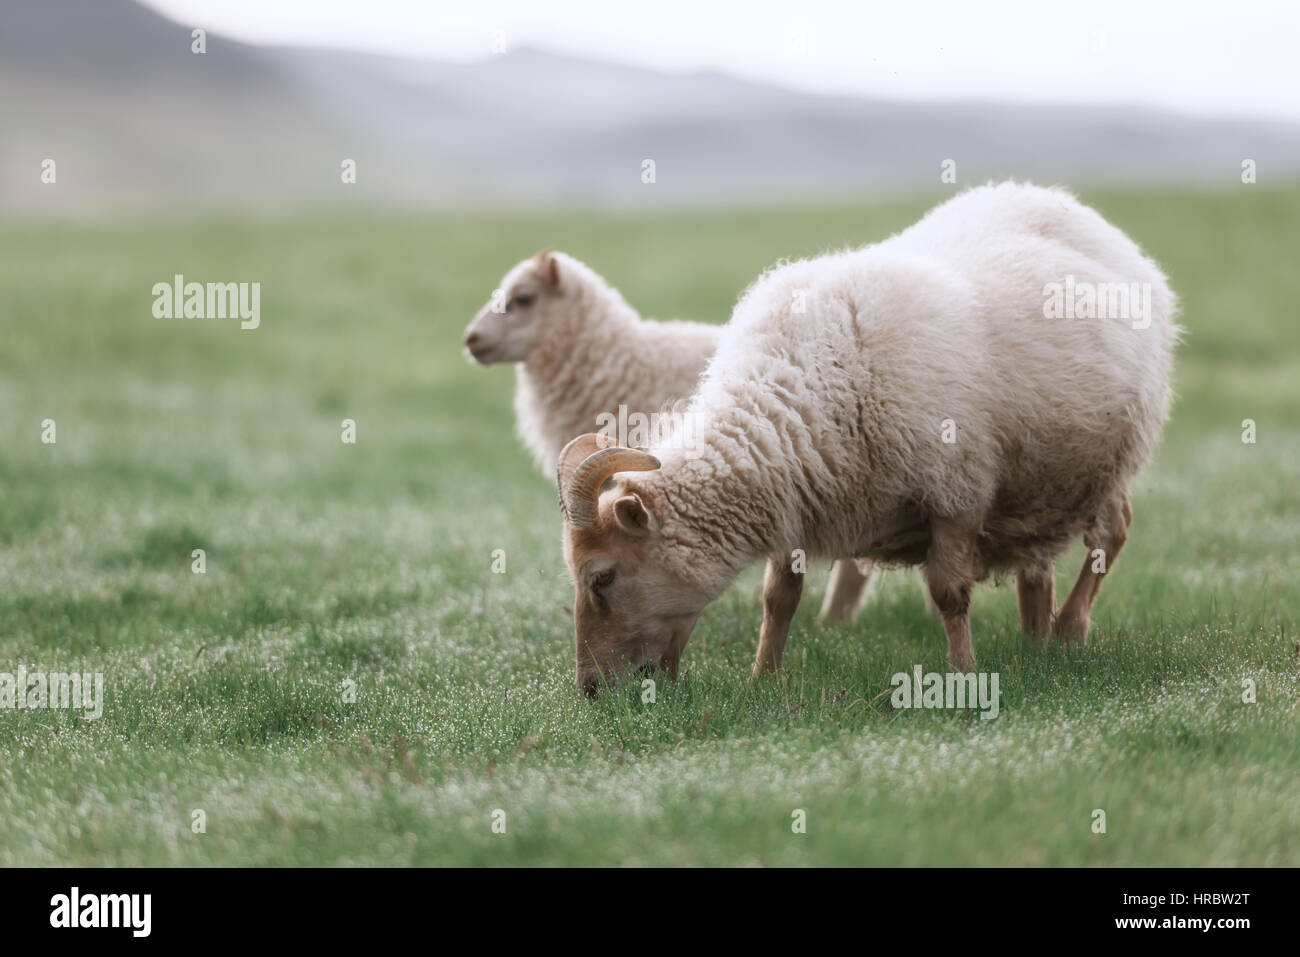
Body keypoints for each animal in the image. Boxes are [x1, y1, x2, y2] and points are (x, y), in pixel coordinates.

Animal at [555, 182, 1179, 696]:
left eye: (601, 578)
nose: (590, 690)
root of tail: (1072, 207)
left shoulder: (956, 492)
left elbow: (949, 593)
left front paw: (963, 675)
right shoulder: (793, 497)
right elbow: (778, 598)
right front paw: (763, 678)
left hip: (1106, 462)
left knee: (1111, 536)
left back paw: (1069, 630)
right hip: (1040, 488)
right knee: (1038, 567)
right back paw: (1036, 644)